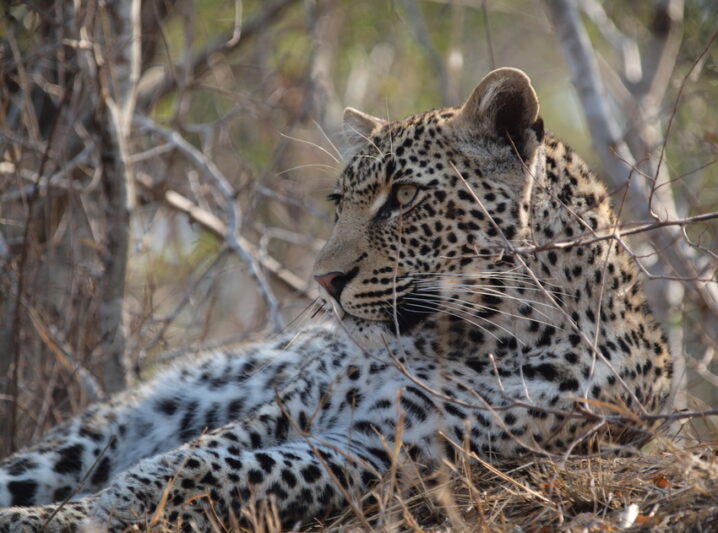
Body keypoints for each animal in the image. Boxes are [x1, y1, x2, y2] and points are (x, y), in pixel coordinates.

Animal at [0, 68, 671, 532]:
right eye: (338, 202)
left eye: (404, 197)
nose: (325, 280)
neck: (460, 336)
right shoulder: (290, 408)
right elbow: (188, 457)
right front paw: (79, 512)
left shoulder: (390, 450)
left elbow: (220, 471)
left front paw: (89, 514)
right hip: (88, 437)